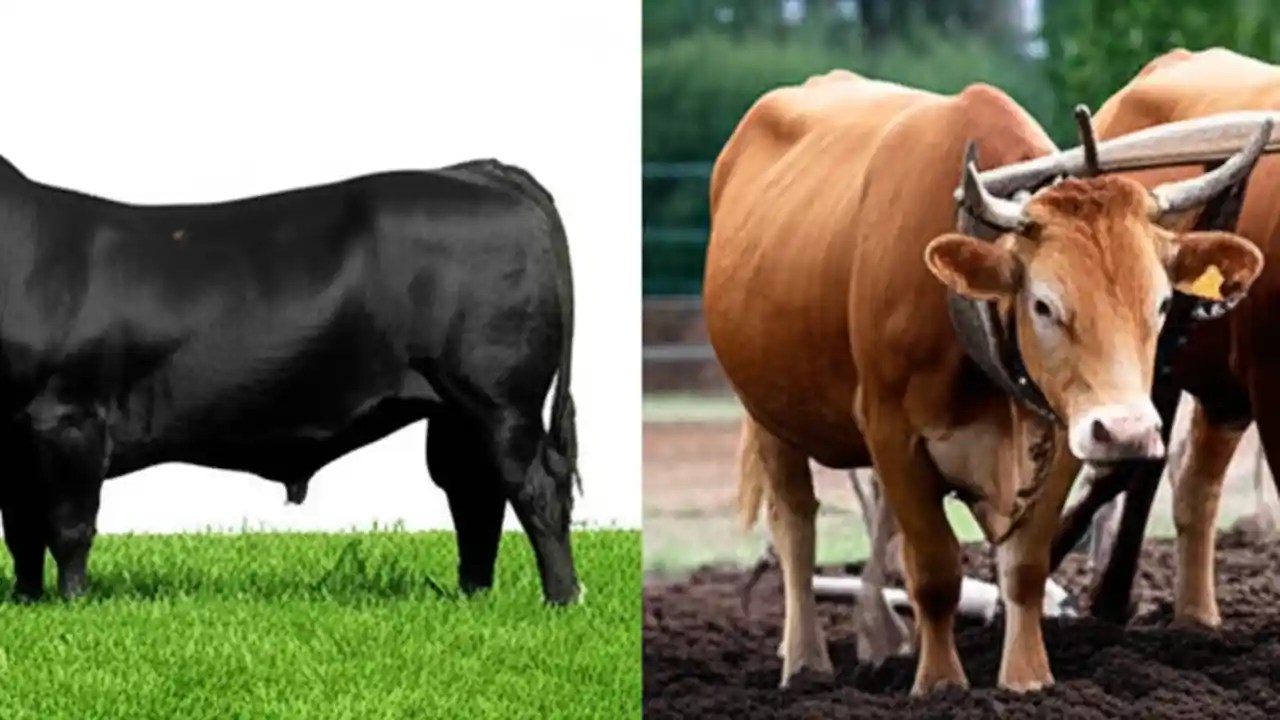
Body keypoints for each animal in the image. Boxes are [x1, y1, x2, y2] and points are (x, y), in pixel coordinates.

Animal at [0, 153, 582, 605]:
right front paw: (26, 600)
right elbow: (22, 530)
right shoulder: (15, 438)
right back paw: (472, 596)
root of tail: (478, 171)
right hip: (454, 413)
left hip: (500, 402)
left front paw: (74, 604)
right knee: (473, 493)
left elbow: (69, 526)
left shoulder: (68, 414)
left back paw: (560, 599)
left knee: (535, 488)